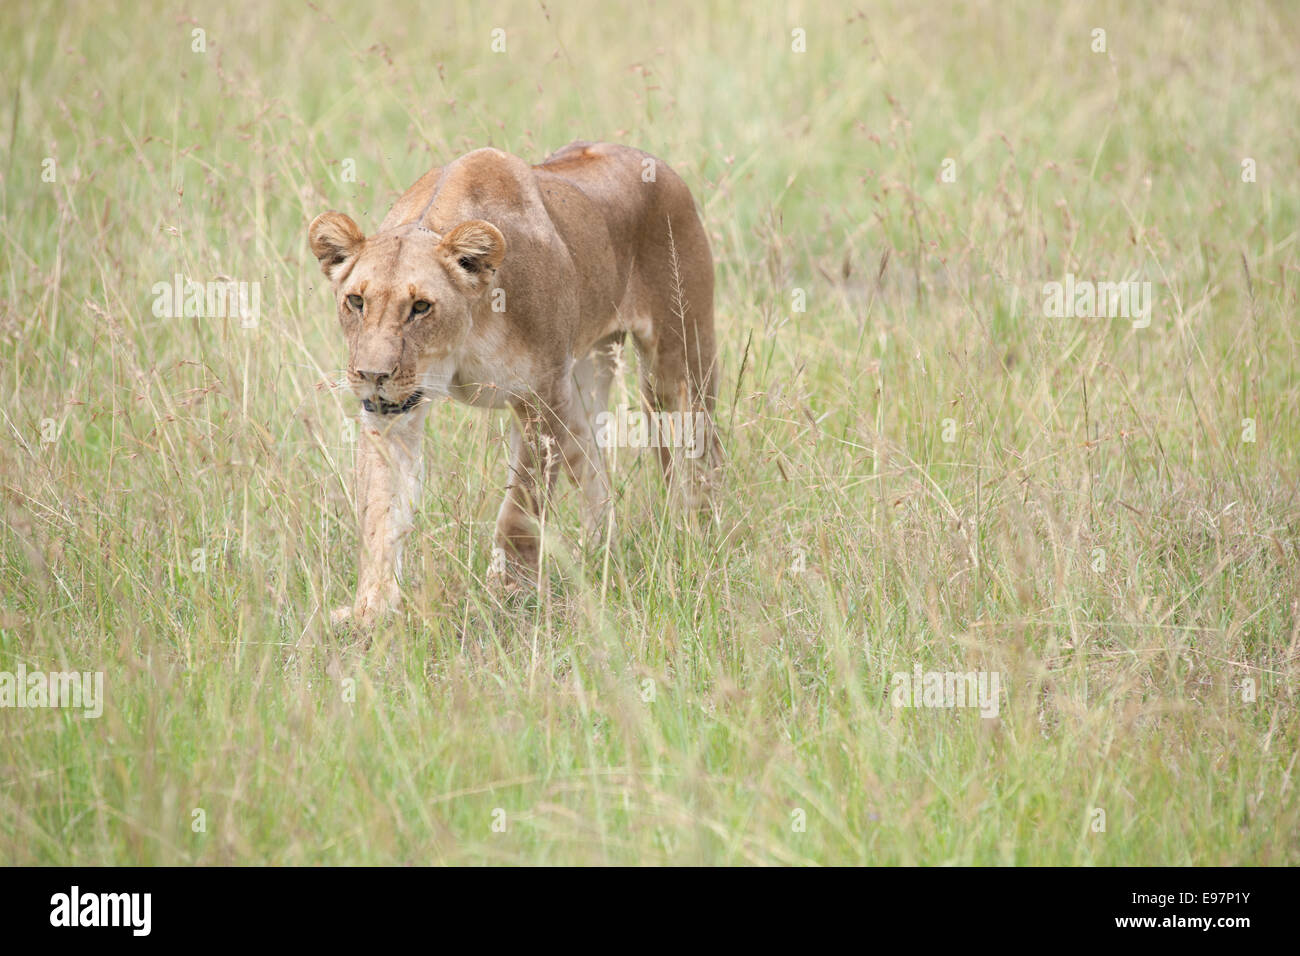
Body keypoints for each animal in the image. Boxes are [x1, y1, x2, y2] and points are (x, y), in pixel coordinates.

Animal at [308, 142, 720, 626]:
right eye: (356, 301)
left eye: (421, 307)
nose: (372, 375)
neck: (463, 337)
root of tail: (654, 162)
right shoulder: (395, 414)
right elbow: (381, 511)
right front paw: (369, 612)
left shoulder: (541, 396)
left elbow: (520, 509)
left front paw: (508, 593)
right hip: (583, 381)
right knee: (594, 466)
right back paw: (601, 553)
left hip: (676, 360)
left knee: (701, 450)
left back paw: (700, 532)